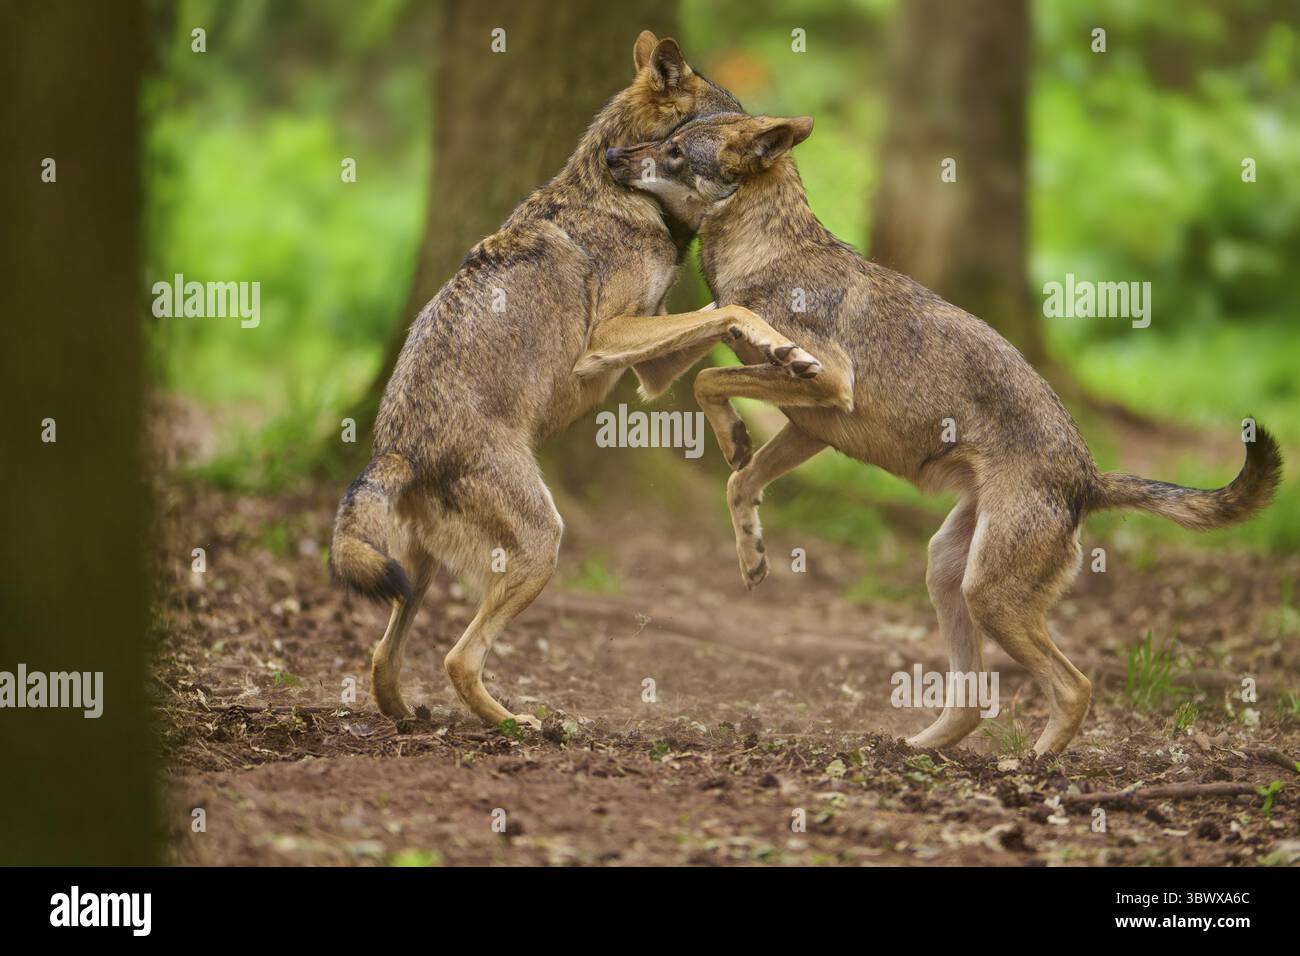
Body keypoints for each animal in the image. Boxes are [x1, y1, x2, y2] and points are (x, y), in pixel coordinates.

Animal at [330, 35, 821, 729]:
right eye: (719, 120)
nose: (769, 138)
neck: (626, 196)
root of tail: (395, 448)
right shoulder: (604, 344)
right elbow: (729, 312)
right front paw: (784, 349)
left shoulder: (646, 366)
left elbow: (719, 318)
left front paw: (780, 365)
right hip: (543, 544)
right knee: (457, 658)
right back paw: (518, 725)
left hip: (419, 575)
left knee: (382, 656)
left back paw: (410, 718)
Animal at [601, 112, 1282, 753]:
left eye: (673, 151)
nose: (609, 155)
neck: (766, 255)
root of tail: (1088, 476)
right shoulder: (812, 427)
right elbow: (738, 478)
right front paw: (751, 548)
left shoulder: (827, 386)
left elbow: (707, 381)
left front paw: (730, 438)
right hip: (946, 570)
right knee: (975, 699)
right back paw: (915, 748)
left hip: (988, 593)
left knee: (1076, 686)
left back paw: (1032, 765)